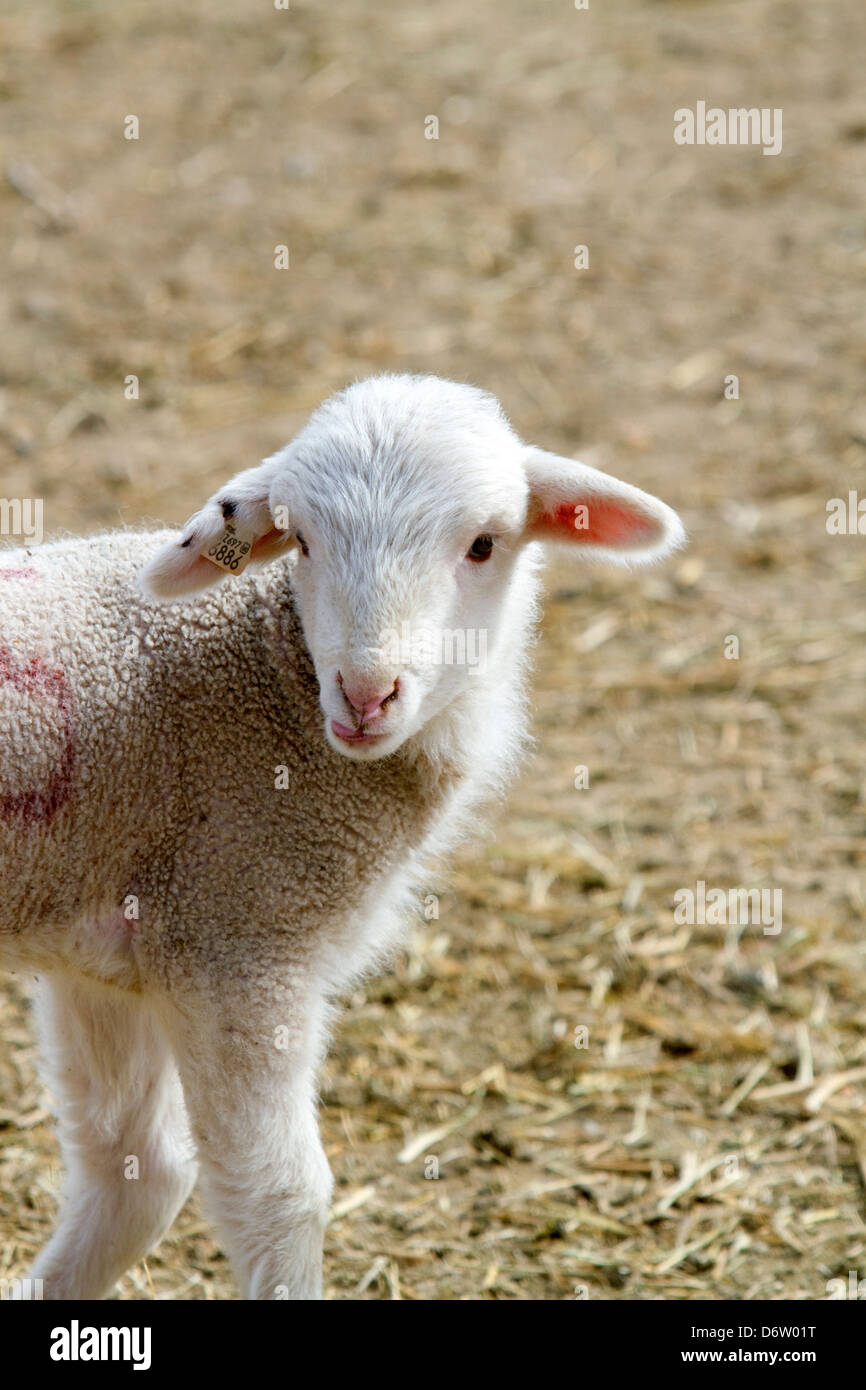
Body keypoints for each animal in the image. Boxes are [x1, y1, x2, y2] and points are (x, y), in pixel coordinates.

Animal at [0, 373, 684, 1300]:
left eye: (483, 545)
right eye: (302, 541)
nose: (366, 694)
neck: (270, 682)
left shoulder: (108, 944)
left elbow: (135, 1173)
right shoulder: (237, 936)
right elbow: (282, 1197)